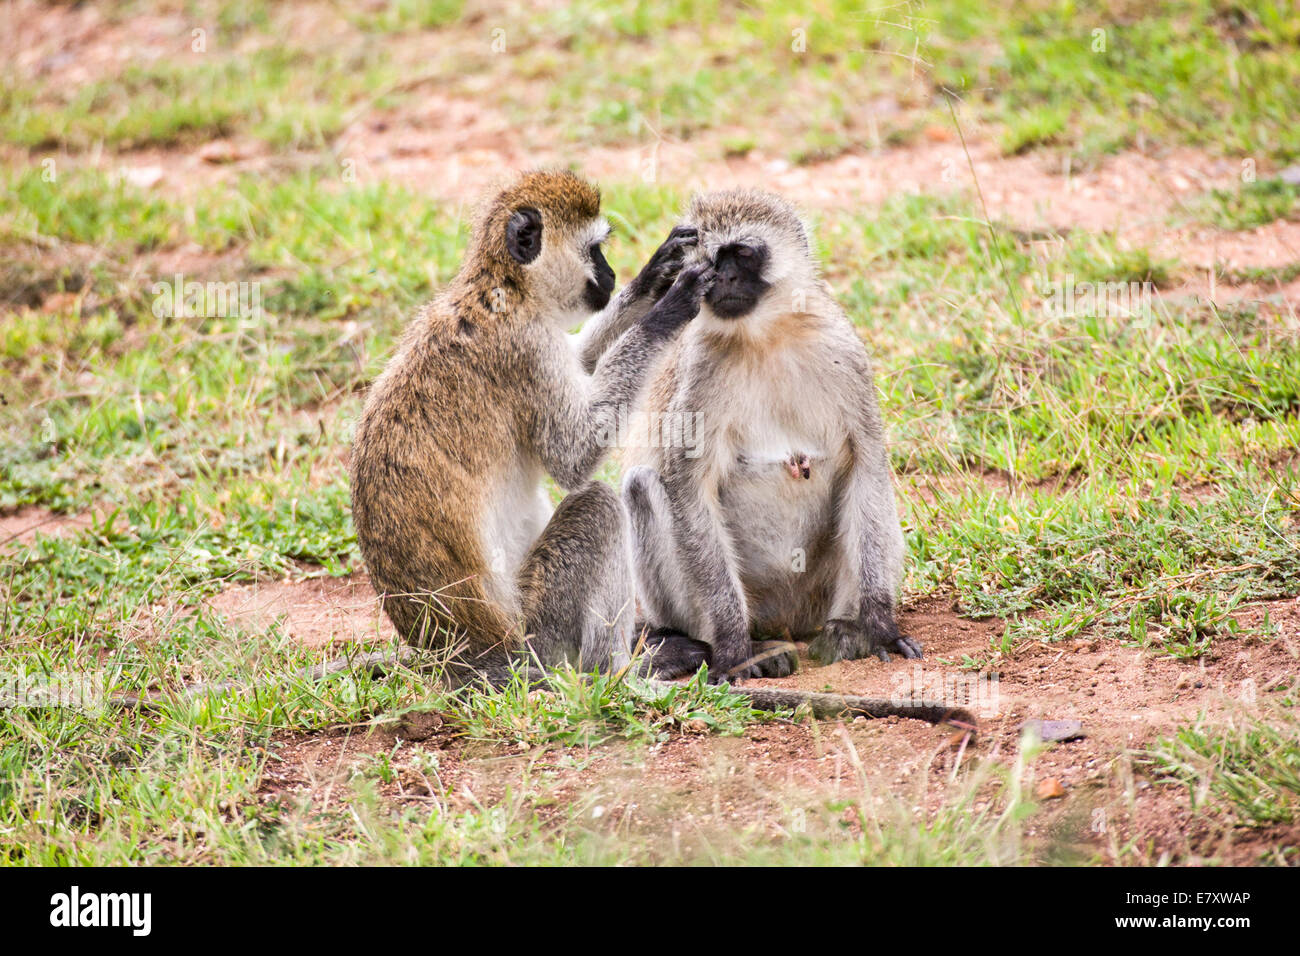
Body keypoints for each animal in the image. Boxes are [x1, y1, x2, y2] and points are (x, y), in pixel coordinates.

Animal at [614, 188, 923, 683]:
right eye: (707, 257)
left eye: (740, 253)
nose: (722, 278)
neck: (764, 335)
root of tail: (785, 622)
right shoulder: (699, 370)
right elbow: (688, 487)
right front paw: (734, 649)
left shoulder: (844, 353)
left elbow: (866, 463)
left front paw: (878, 626)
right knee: (644, 485)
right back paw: (718, 645)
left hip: (816, 599)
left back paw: (846, 631)